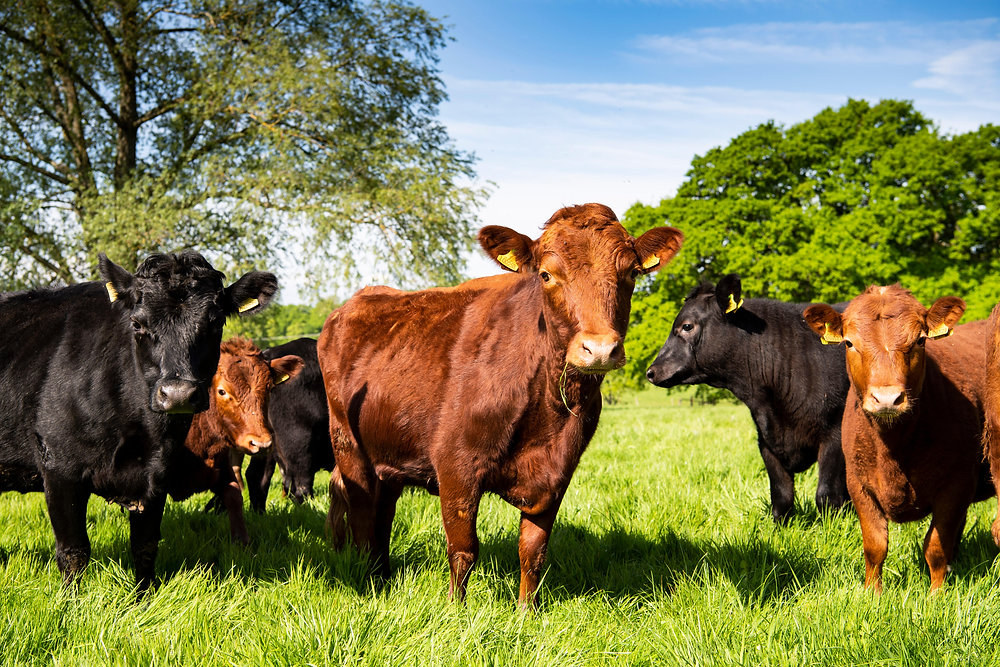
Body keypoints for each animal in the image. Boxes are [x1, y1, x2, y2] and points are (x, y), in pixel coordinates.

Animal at [0, 251, 277, 592]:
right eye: (138, 323)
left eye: (215, 322)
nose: (178, 394)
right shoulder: (59, 467)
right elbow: (73, 552)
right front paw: (69, 602)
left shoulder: (158, 474)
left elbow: (145, 545)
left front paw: (144, 597)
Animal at [169, 337, 303, 544]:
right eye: (222, 391)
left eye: (269, 389)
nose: (261, 444)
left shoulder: (223, 464)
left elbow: (234, 495)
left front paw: (241, 541)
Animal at [317, 203, 684, 606]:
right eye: (546, 275)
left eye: (631, 273)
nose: (600, 348)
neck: (548, 411)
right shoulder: (455, 467)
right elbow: (463, 550)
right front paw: (456, 610)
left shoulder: (558, 474)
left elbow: (532, 551)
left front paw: (527, 611)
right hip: (348, 446)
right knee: (362, 516)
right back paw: (368, 584)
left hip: (389, 457)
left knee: (382, 517)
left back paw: (381, 578)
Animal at [645, 274, 851, 522]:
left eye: (687, 326)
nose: (651, 371)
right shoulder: (766, 440)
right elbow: (781, 496)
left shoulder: (835, 434)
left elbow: (827, 495)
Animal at [803, 285, 993, 592]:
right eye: (849, 343)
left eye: (920, 341)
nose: (887, 398)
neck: (894, 445)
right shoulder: (858, 484)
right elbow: (875, 546)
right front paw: (872, 593)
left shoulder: (956, 484)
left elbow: (936, 547)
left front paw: (936, 595)